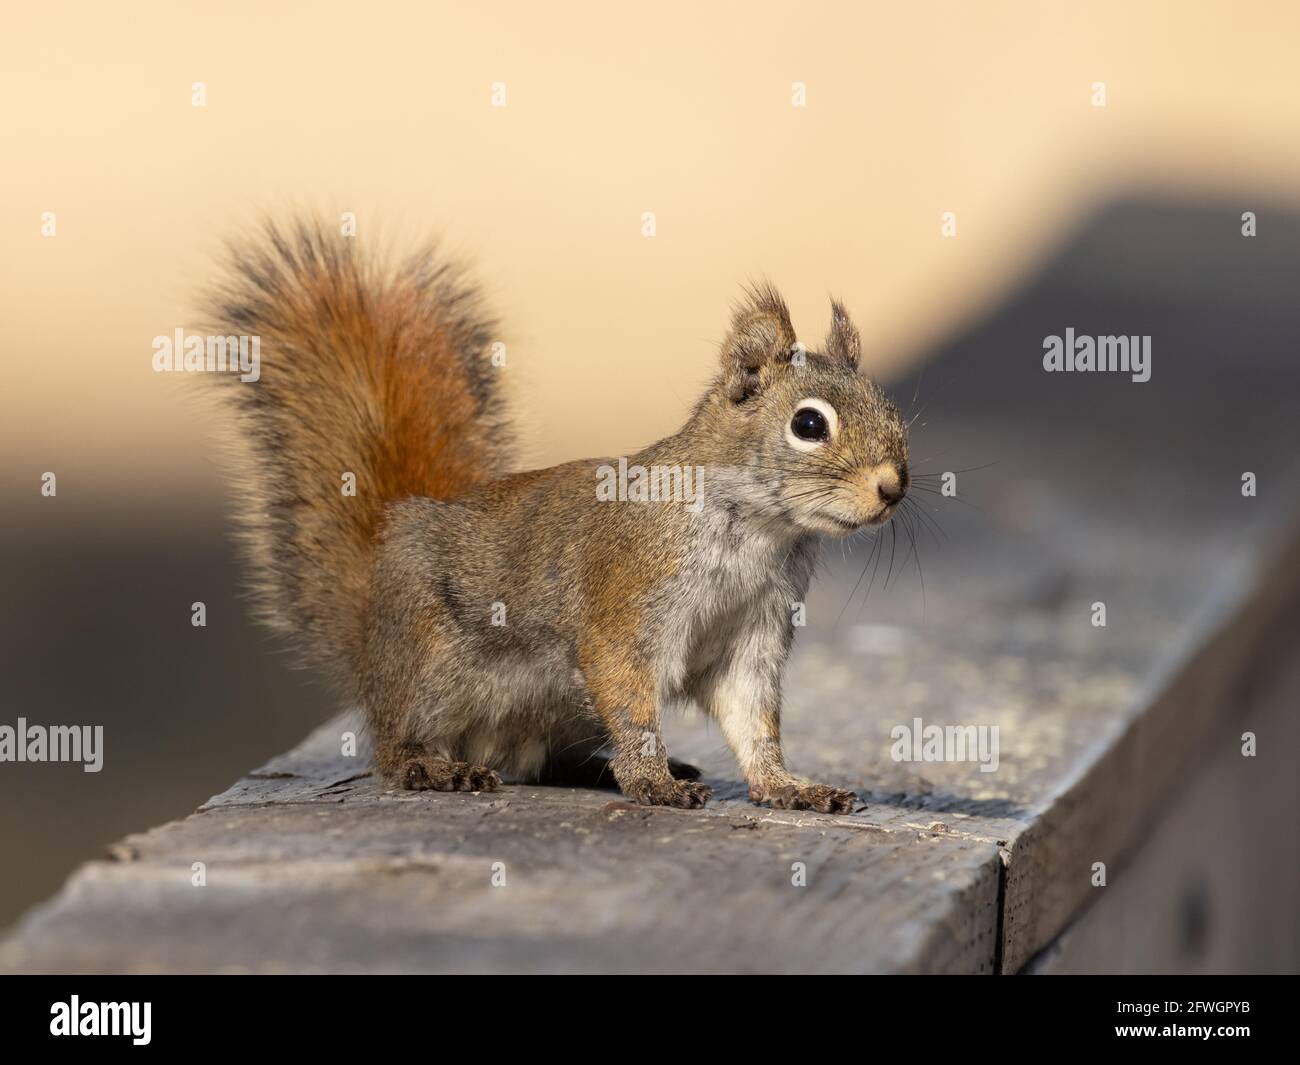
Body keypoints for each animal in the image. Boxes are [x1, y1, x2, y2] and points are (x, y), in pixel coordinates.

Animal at [204, 217, 909, 814]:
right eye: (808, 424)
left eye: (889, 407)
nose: (893, 487)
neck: (758, 529)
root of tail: (370, 625)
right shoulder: (626, 604)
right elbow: (630, 699)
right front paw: (653, 783)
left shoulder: (753, 632)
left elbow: (751, 719)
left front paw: (788, 787)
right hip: (429, 663)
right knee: (395, 747)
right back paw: (439, 769)